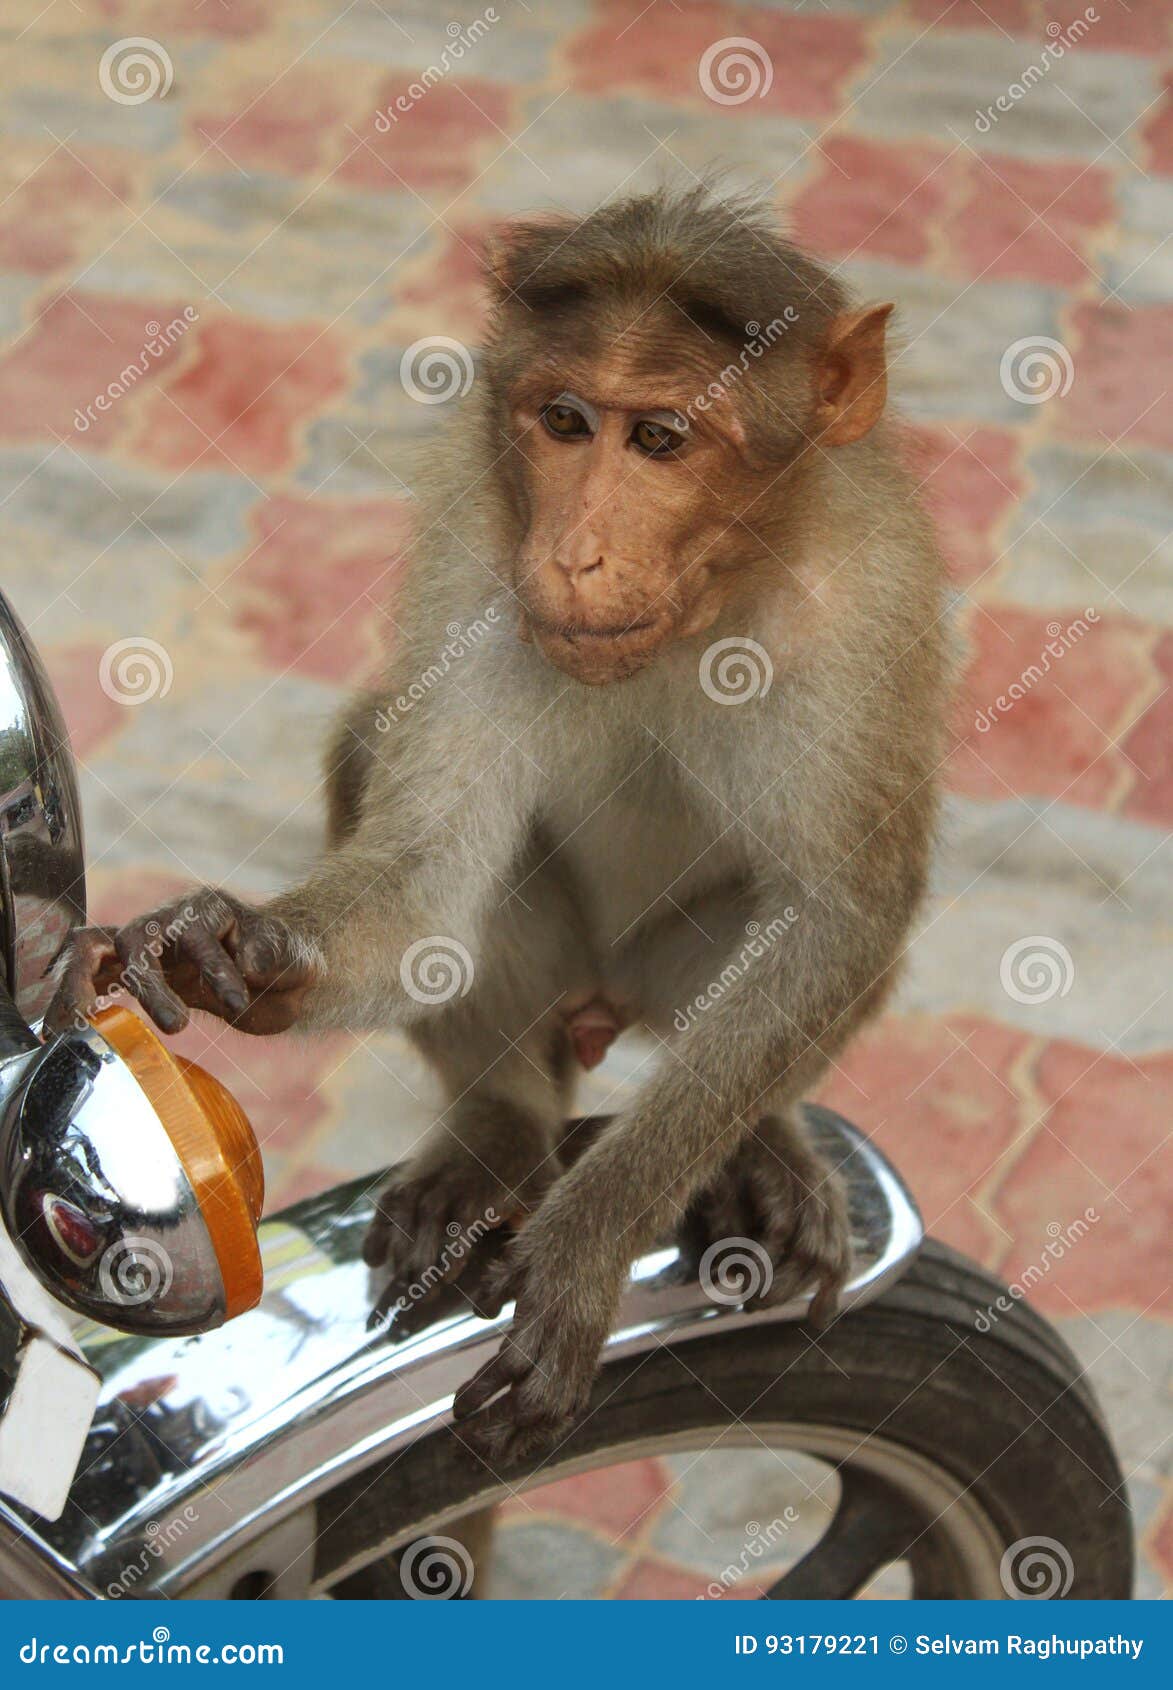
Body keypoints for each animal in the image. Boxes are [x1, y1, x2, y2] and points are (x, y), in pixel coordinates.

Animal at [45, 185, 950, 1465]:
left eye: (659, 440)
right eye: (565, 422)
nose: (572, 552)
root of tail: (602, 995)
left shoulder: (865, 599)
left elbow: (837, 916)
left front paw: (585, 1247)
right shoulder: (481, 548)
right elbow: (426, 868)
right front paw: (235, 947)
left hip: (661, 972)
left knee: (839, 918)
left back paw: (758, 1144)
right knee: (394, 775)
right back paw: (496, 1131)